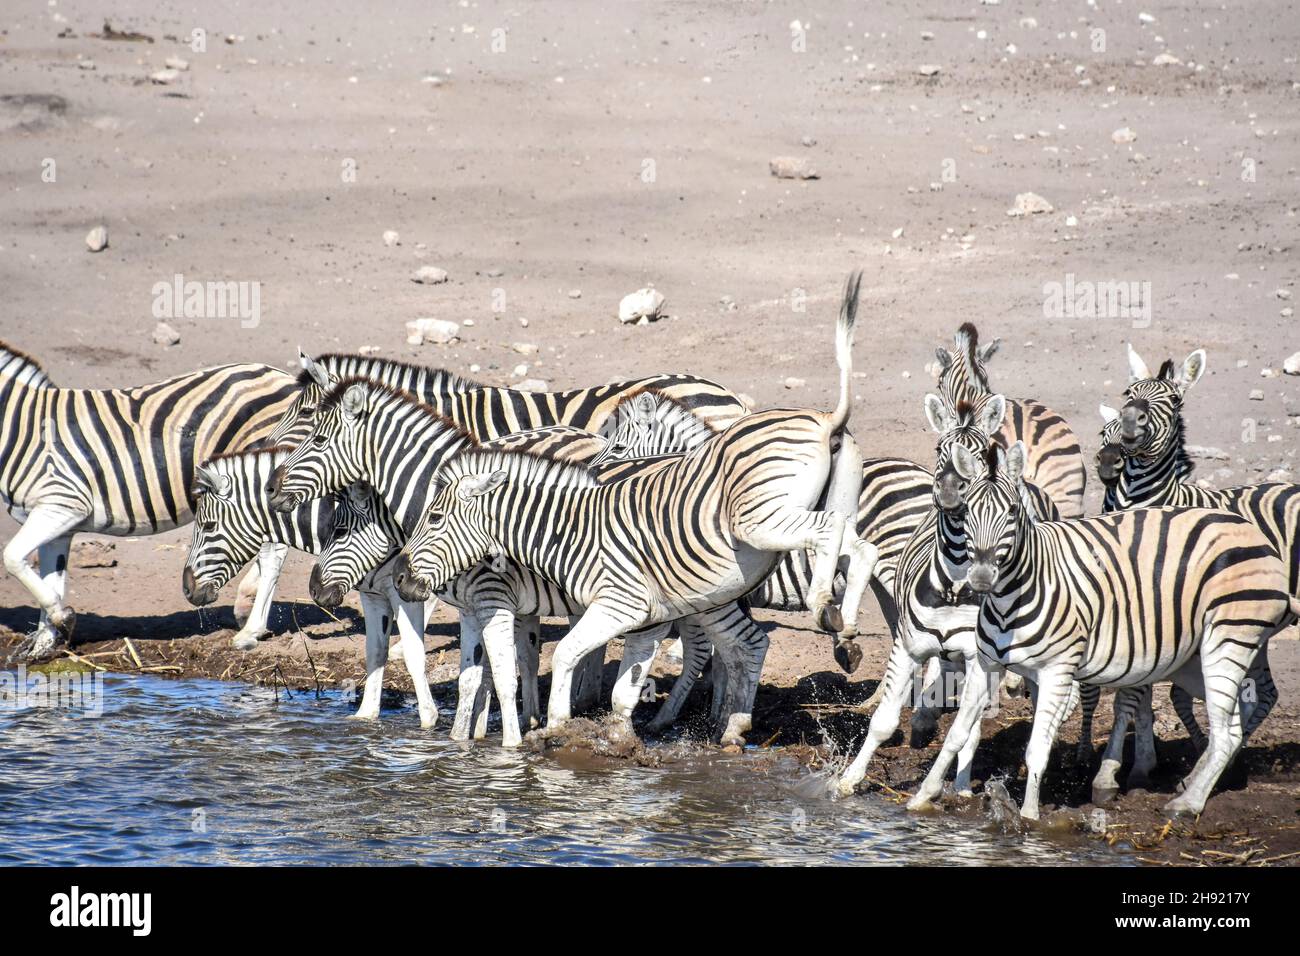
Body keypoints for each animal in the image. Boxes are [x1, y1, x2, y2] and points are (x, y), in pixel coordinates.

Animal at [0, 343, 297, 660]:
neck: (20, 428)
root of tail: (286, 377)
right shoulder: (57, 525)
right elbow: (49, 579)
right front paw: (44, 645)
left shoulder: (62, 503)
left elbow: (12, 558)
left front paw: (62, 618)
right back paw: (246, 604)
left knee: (272, 553)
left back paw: (251, 625)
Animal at [181, 447, 439, 726]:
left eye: (208, 526)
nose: (187, 589)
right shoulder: (372, 592)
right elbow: (374, 653)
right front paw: (366, 717)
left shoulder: (397, 590)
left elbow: (414, 653)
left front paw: (427, 721)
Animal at [392, 273, 876, 730]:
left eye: (434, 517)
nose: (400, 577)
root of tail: (827, 419)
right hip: (823, 511)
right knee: (853, 548)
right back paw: (832, 637)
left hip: (758, 525)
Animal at [895, 438, 1299, 819]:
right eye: (965, 511)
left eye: (1011, 510)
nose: (979, 579)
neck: (1013, 596)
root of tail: (1245, 526)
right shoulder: (986, 663)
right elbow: (957, 734)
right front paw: (922, 797)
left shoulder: (1057, 671)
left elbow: (1037, 749)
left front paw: (1028, 816)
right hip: (1193, 661)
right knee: (1230, 726)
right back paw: (1192, 787)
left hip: (1228, 638)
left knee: (1226, 730)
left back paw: (1187, 804)